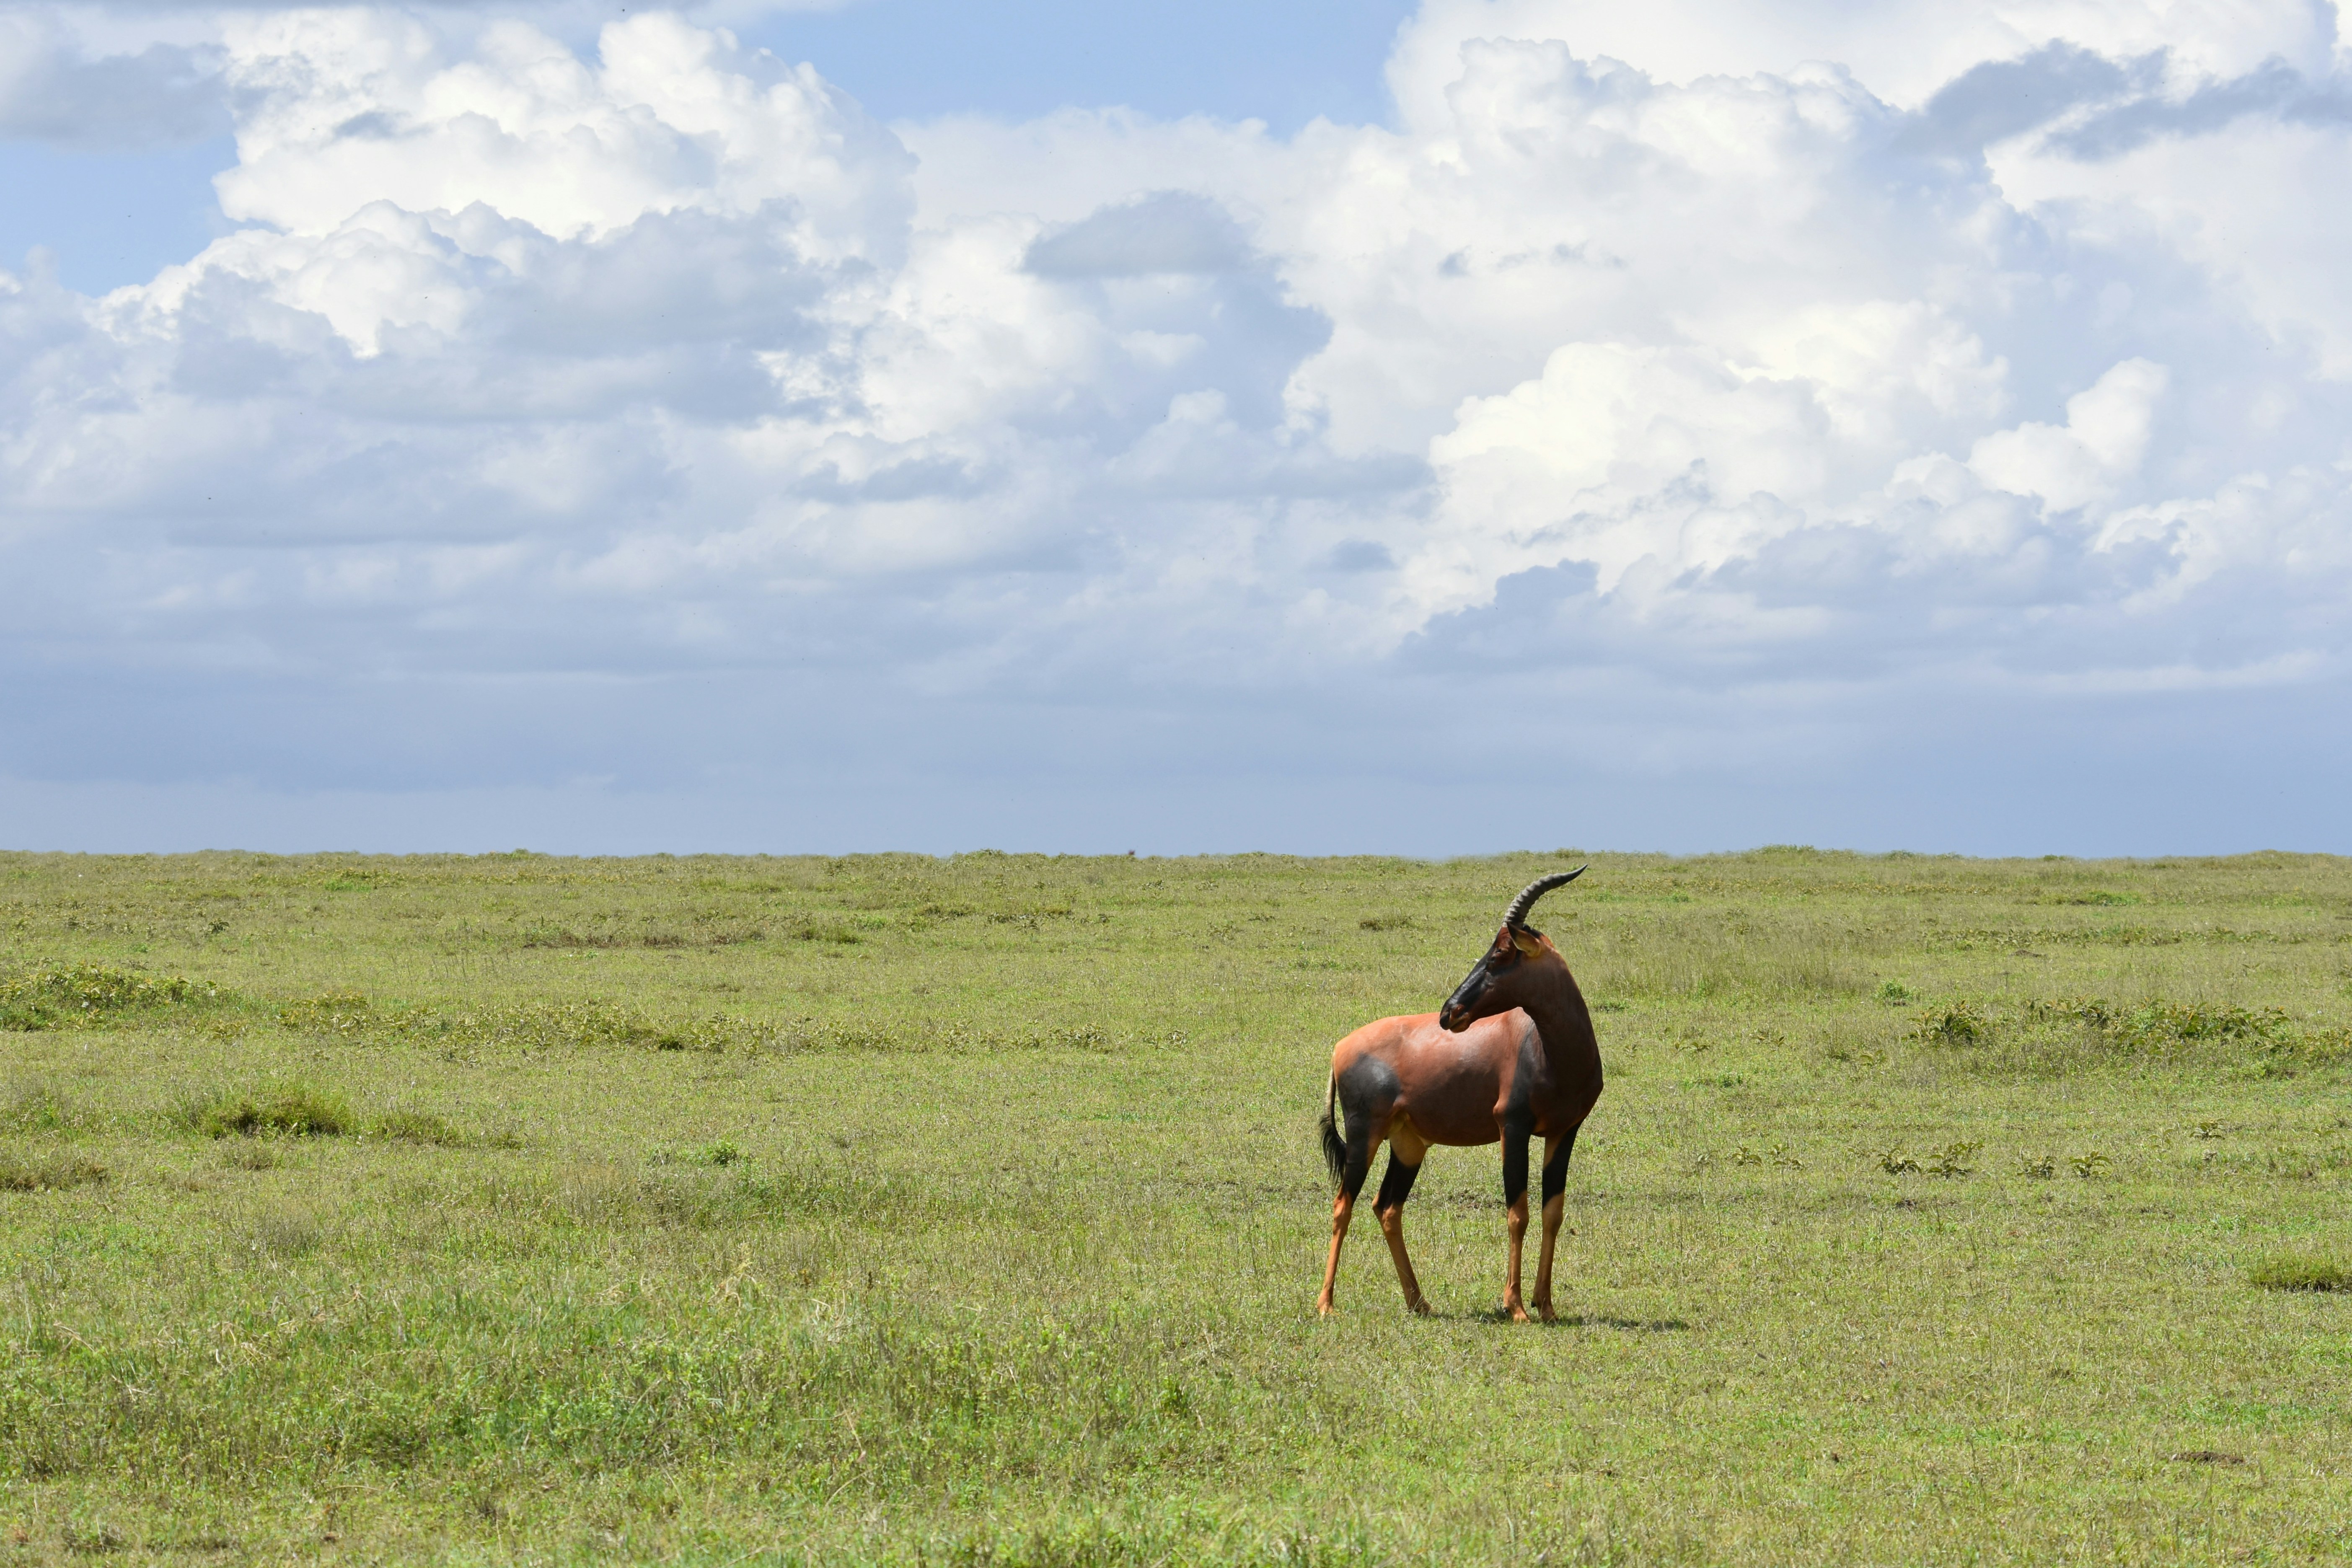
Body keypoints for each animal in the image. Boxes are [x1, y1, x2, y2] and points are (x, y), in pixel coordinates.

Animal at [1316, 869, 1599, 1321]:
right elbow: (1517, 1213)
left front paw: (1547, 1306)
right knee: (1344, 1204)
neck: (1546, 1049)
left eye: (1501, 954)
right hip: (1365, 1136)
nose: (1449, 1013)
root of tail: (1340, 1048)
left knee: (1387, 1206)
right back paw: (1325, 1304)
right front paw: (1516, 1307)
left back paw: (1419, 1302)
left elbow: (1552, 1212)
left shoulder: (1564, 1132)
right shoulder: (1512, 1128)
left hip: (1408, 1145)